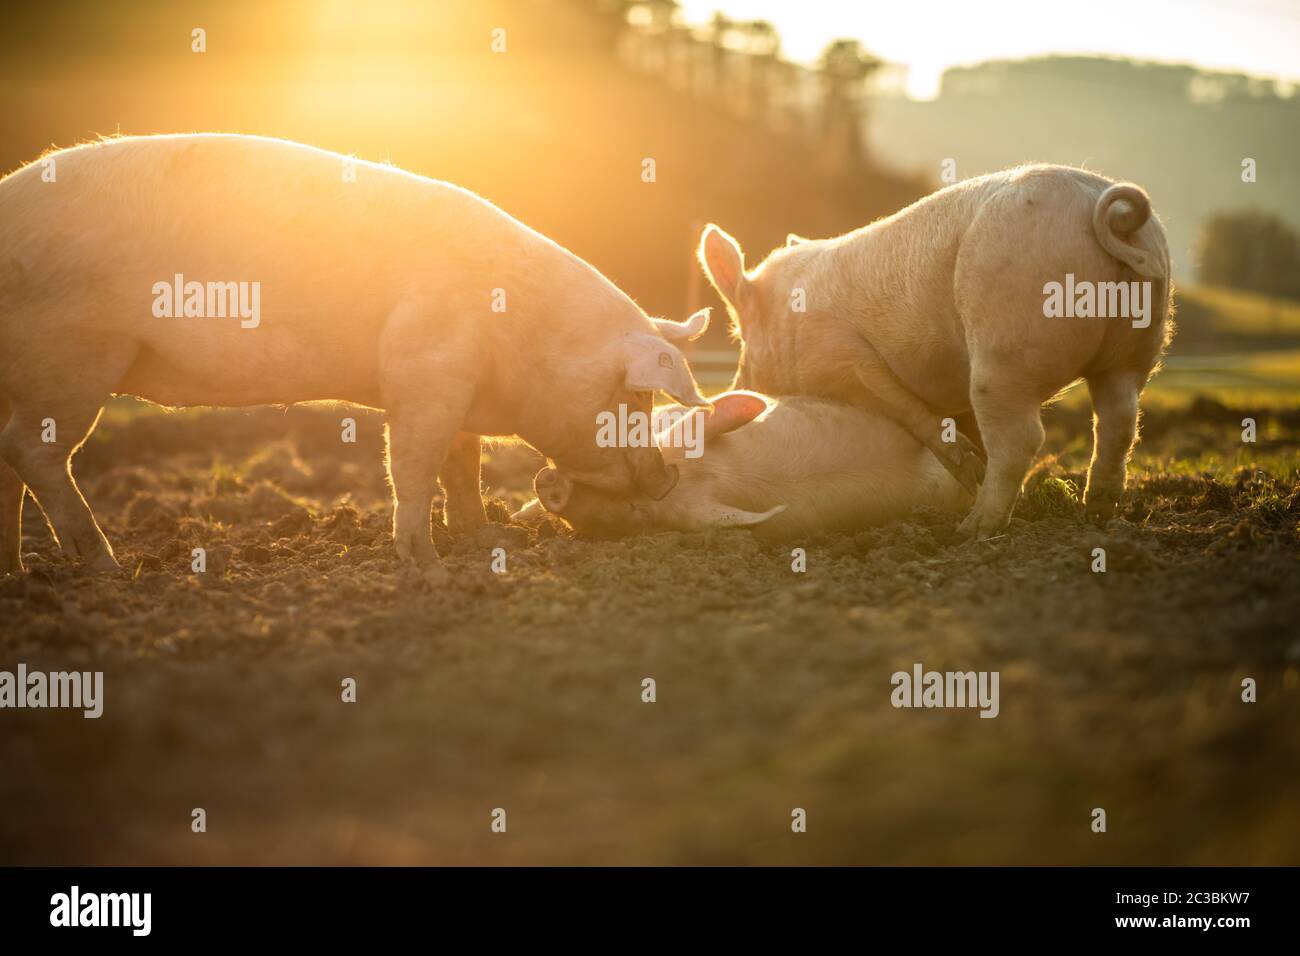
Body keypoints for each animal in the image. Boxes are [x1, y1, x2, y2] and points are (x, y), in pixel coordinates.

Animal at [0, 133, 710, 573]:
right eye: (636, 393)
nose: (669, 476)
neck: (524, 335)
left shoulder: (457, 385)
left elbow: (463, 468)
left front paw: (489, 539)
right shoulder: (424, 371)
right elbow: (416, 467)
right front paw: (425, 567)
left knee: (9, 458)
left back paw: (23, 571)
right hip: (73, 357)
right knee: (34, 453)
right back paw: (108, 567)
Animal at [696, 164, 1173, 539]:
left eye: (740, 340)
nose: (733, 387)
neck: (784, 319)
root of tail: (1098, 206)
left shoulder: (842, 355)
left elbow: (897, 399)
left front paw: (967, 470)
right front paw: (971, 470)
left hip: (1004, 347)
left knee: (1022, 437)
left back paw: (974, 528)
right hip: (1136, 346)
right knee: (1119, 423)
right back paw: (1095, 514)